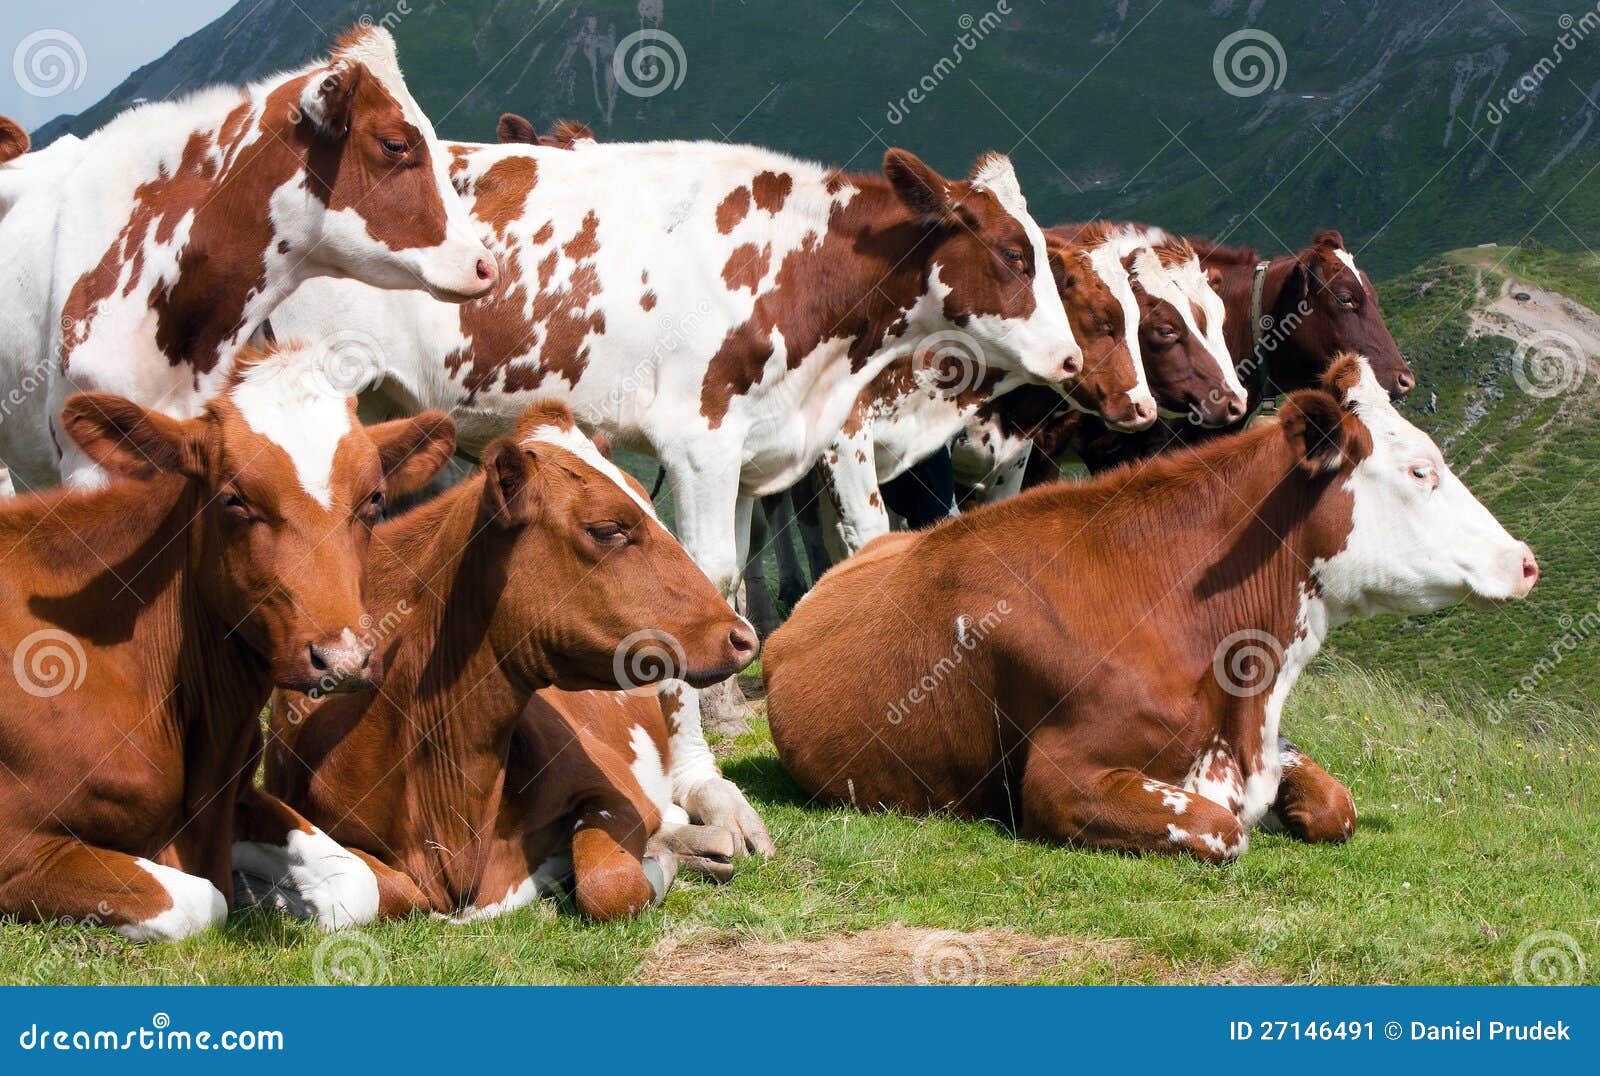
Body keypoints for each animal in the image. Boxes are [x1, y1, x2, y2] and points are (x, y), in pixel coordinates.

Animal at [0, 341, 456, 940]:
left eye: (375, 499)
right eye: (234, 499)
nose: (342, 658)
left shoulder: (237, 793)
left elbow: (356, 880)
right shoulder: (16, 848)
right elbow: (201, 901)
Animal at [259, 402, 756, 922]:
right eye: (607, 528)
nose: (744, 636)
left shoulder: (614, 788)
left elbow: (611, 884)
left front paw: (658, 857)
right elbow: (387, 891)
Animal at [268, 134, 1080, 853]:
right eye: (1015, 253)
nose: (1073, 359)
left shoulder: (749, 449)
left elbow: (736, 574)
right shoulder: (700, 442)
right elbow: (705, 579)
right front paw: (702, 777)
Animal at [764, 355, 1537, 862]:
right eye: (1420, 471)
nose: (1525, 559)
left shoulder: (1266, 744)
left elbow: (1335, 808)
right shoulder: (1060, 781)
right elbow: (1224, 831)